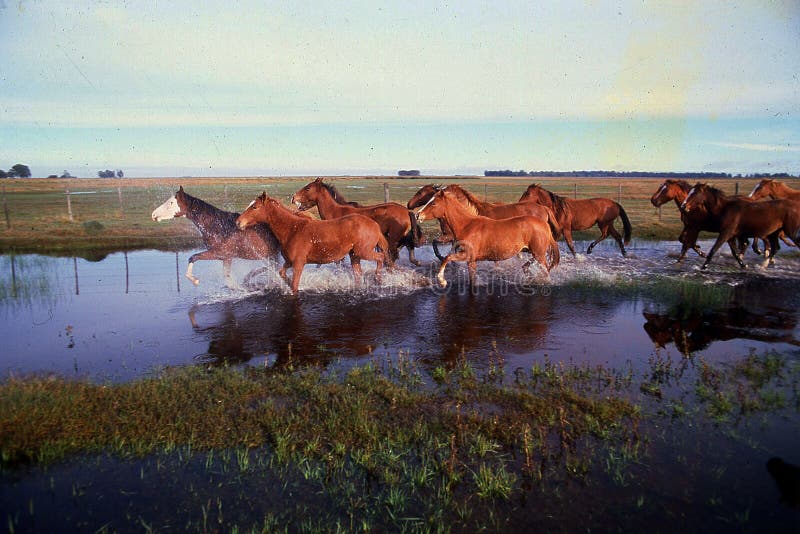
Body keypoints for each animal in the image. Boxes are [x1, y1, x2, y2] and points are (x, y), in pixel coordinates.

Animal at [151, 186, 280, 286]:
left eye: (171, 202)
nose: (153, 215)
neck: (219, 226)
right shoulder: (226, 257)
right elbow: (228, 280)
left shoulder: (220, 253)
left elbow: (193, 257)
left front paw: (195, 281)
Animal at [236, 192, 388, 294]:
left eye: (255, 207)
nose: (238, 222)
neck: (292, 229)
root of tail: (374, 225)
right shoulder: (289, 262)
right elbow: (282, 273)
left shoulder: (298, 264)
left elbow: (294, 286)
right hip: (354, 255)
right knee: (358, 275)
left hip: (363, 252)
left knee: (381, 257)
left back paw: (378, 279)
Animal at [291, 178, 423, 266]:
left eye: (308, 188)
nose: (293, 198)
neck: (336, 212)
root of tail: (407, 211)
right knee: (407, 249)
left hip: (392, 240)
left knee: (393, 257)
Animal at [407, 183, 561, 260]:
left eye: (421, 193)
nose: (409, 205)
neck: (468, 213)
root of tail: (544, 208)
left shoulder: (450, 236)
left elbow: (436, 244)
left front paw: (441, 256)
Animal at [416, 189, 559, 287]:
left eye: (433, 203)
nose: (417, 215)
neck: (467, 225)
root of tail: (544, 224)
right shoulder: (471, 261)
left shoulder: (466, 255)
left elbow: (447, 257)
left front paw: (442, 281)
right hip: (534, 253)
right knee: (529, 265)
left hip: (539, 255)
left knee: (545, 270)